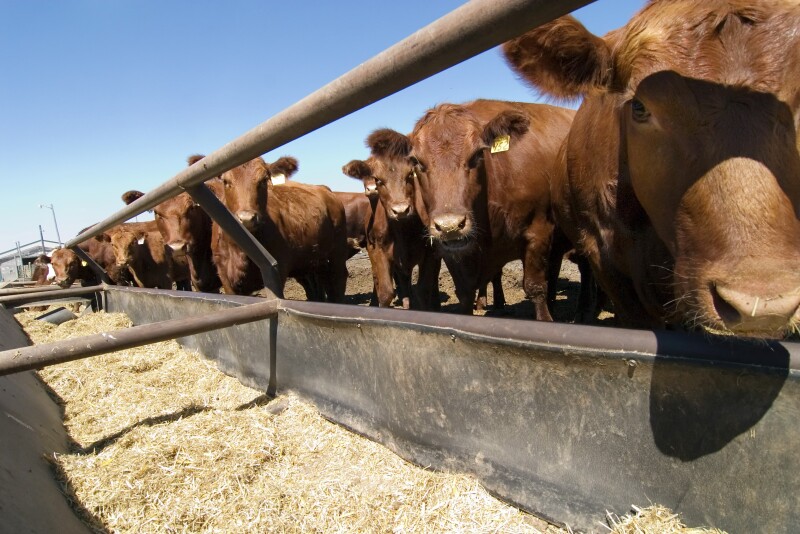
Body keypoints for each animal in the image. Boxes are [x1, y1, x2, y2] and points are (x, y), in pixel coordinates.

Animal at [212, 155, 349, 302]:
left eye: (264, 180)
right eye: (226, 181)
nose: (247, 218)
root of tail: (324, 189)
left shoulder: (279, 269)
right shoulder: (225, 277)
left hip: (338, 251)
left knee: (338, 279)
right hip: (315, 259)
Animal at [343, 129, 441, 310]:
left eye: (410, 174)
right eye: (378, 179)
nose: (401, 210)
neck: (403, 231)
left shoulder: (430, 252)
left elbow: (424, 290)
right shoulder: (378, 252)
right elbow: (386, 293)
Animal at [395, 99, 574, 319]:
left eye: (478, 154)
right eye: (417, 162)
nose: (450, 225)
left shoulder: (538, 232)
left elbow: (536, 287)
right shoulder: (448, 249)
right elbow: (464, 292)